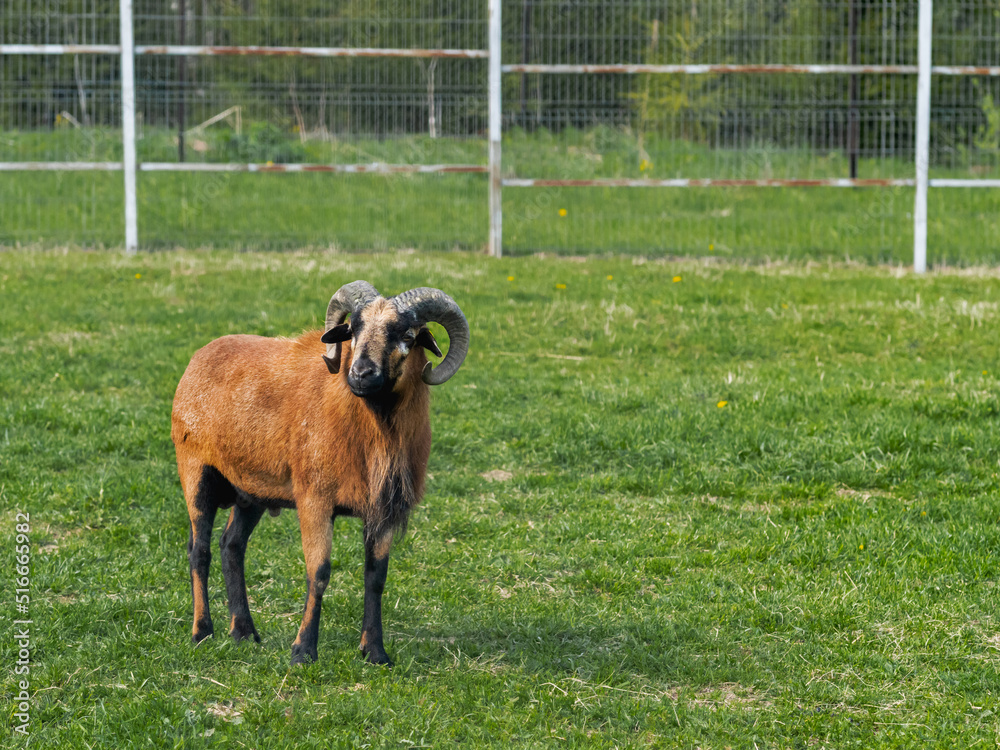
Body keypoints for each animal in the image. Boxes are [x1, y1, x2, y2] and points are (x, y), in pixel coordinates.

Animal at [170, 281, 469, 666]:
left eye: (407, 335)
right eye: (353, 329)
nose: (360, 374)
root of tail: (202, 354)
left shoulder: (381, 509)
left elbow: (376, 577)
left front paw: (375, 652)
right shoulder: (314, 500)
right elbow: (320, 573)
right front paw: (303, 651)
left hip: (250, 490)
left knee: (231, 546)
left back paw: (244, 632)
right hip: (195, 472)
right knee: (199, 549)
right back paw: (202, 632)